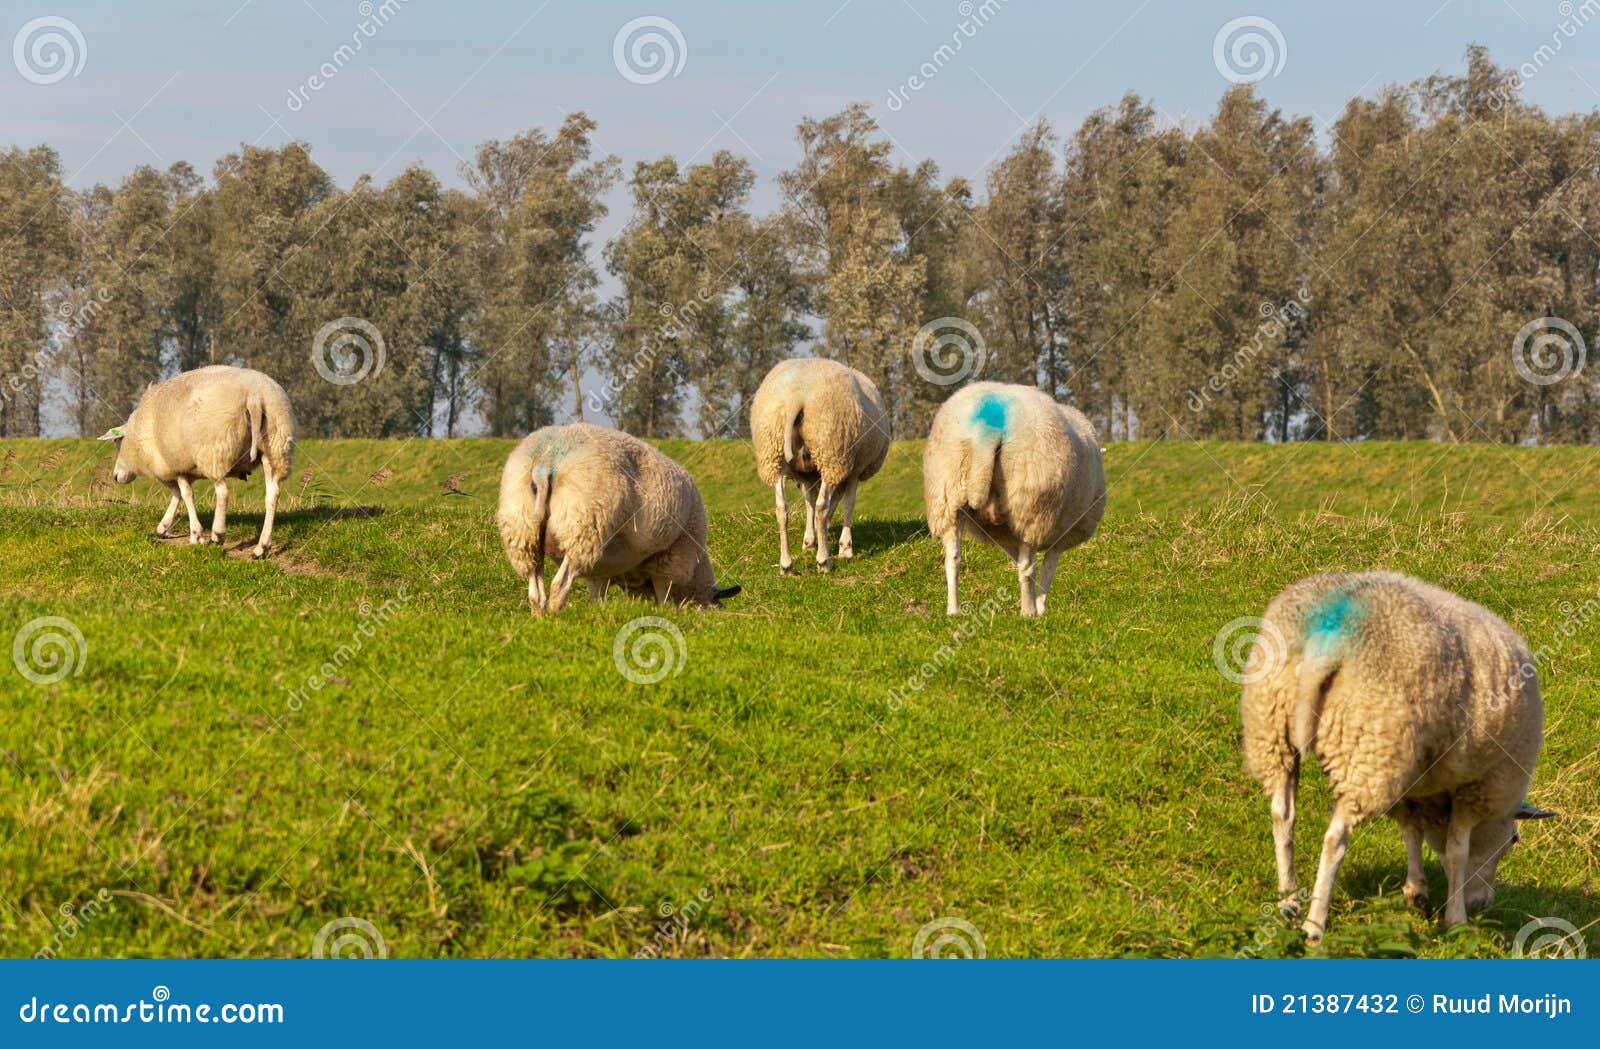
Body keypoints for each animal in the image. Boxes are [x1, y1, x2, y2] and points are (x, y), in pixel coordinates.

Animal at [100, 365, 296, 559]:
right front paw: (164, 527)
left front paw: (196, 535)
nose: (115, 476)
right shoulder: (182, 467)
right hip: (275, 447)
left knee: (222, 492)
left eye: (116, 441)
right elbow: (178, 494)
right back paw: (261, 548)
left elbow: (186, 495)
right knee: (272, 494)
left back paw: (218, 534)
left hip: (215, 450)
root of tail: (254, 396)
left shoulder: (174, 465)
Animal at [497, 423, 741, 614]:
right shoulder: (672, 557)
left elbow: (598, 596)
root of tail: (548, 459)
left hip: (523, 532)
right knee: (559, 585)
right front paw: (667, 614)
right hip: (583, 528)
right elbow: (664, 595)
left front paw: (600, 613)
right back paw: (557, 617)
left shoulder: (599, 570)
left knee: (535, 592)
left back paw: (541, 619)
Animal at [750, 357, 890, 573]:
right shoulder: (854, 471)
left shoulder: (808, 476)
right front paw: (845, 548)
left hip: (773, 454)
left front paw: (809, 541)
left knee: (782, 509)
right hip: (831, 451)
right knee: (822, 506)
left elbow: (809, 503)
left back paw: (786, 565)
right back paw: (823, 561)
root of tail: (795, 397)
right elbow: (847, 503)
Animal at [922, 382, 1105, 617]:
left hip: (948, 493)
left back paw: (954, 610)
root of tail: (987, 426)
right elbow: (1048, 570)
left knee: (953, 558)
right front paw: (1041, 607)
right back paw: (1028, 612)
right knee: (1028, 567)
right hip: (1032, 505)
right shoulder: (1062, 535)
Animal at [1239, 570, 1552, 942]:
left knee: (1282, 814)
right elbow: (1457, 853)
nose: (1483, 904)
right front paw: (1456, 919)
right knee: (1334, 838)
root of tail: (1332, 628)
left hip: (1273, 727)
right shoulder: (1478, 787)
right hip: (1370, 746)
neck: (1436, 800)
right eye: (1512, 841)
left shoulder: (1411, 780)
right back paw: (1314, 925)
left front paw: (1416, 891)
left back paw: (1289, 902)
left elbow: (1409, 830)